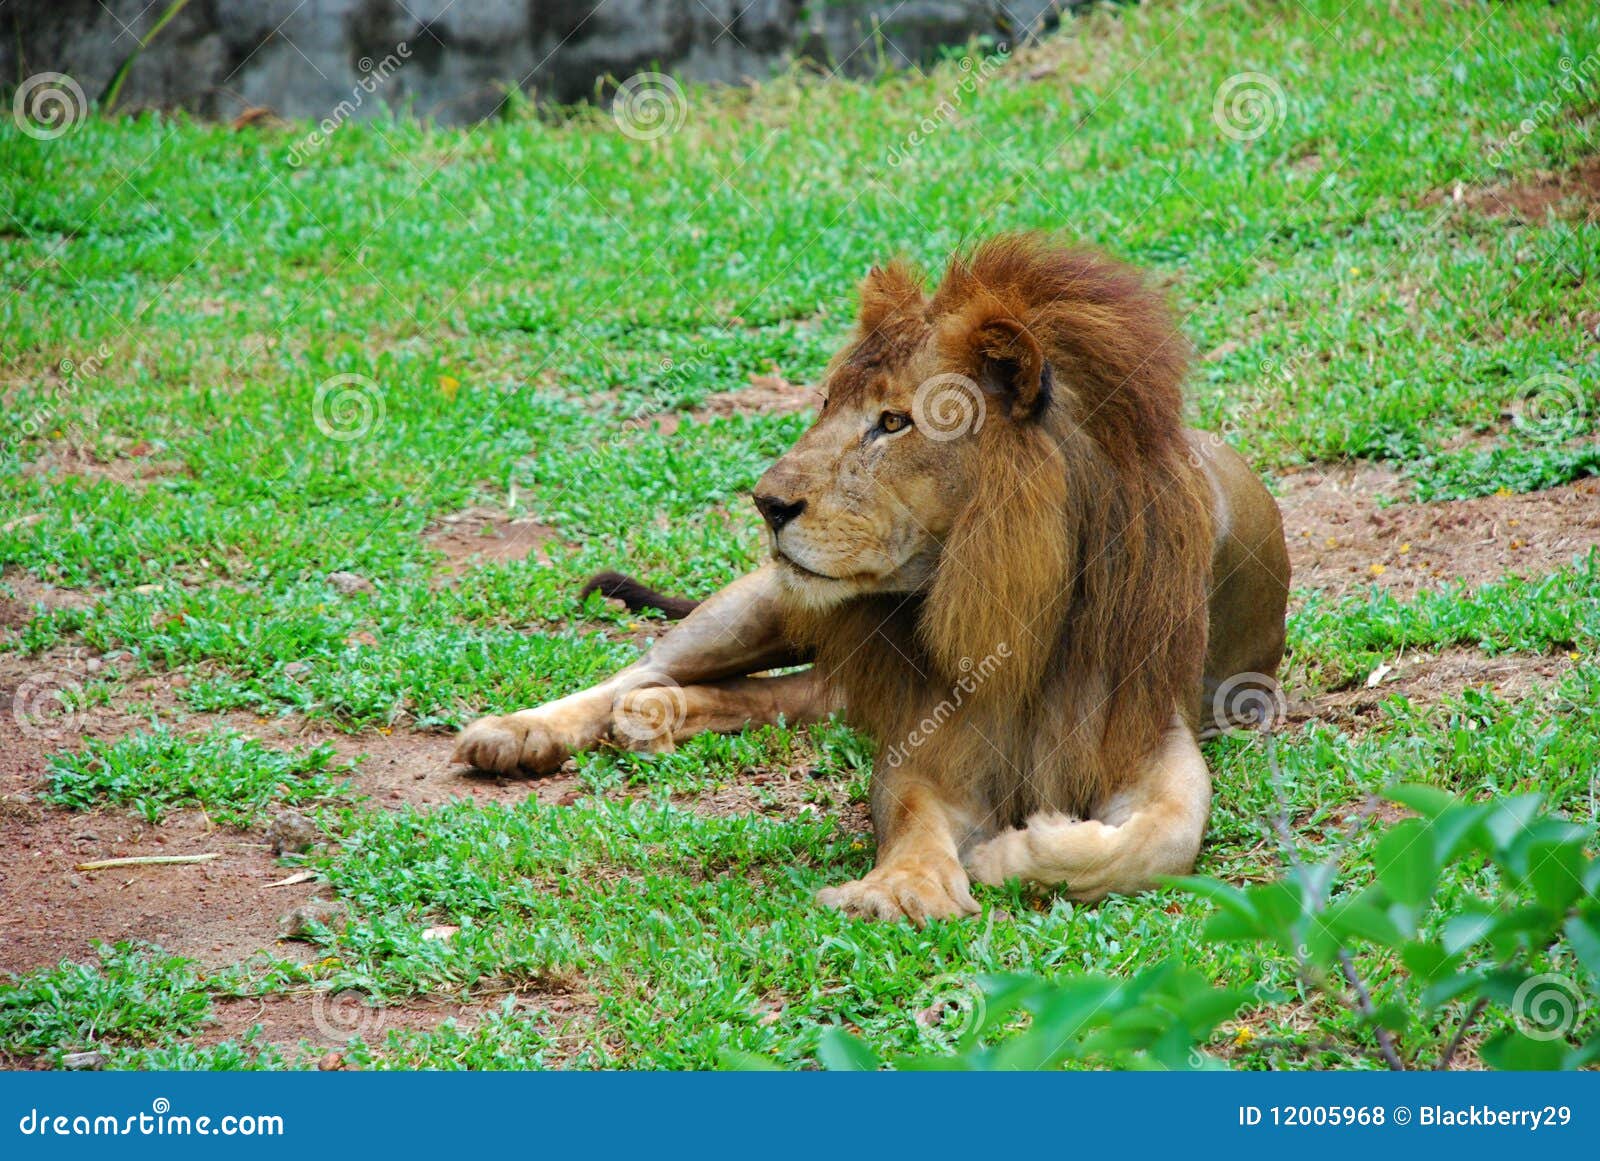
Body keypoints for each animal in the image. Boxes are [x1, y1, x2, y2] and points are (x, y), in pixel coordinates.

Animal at [454, 233, 1290, 924]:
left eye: (893, 422)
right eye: (826, 404)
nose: (767, 503)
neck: (1009, 592)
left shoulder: (1151, 730)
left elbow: (1160, 837)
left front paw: (1009, 853)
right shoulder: (932, 738)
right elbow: (915, 815)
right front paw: (900, 888)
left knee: (780, 695)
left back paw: (654, 716)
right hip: (766, 599)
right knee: (643, 666)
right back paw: (522, 732)